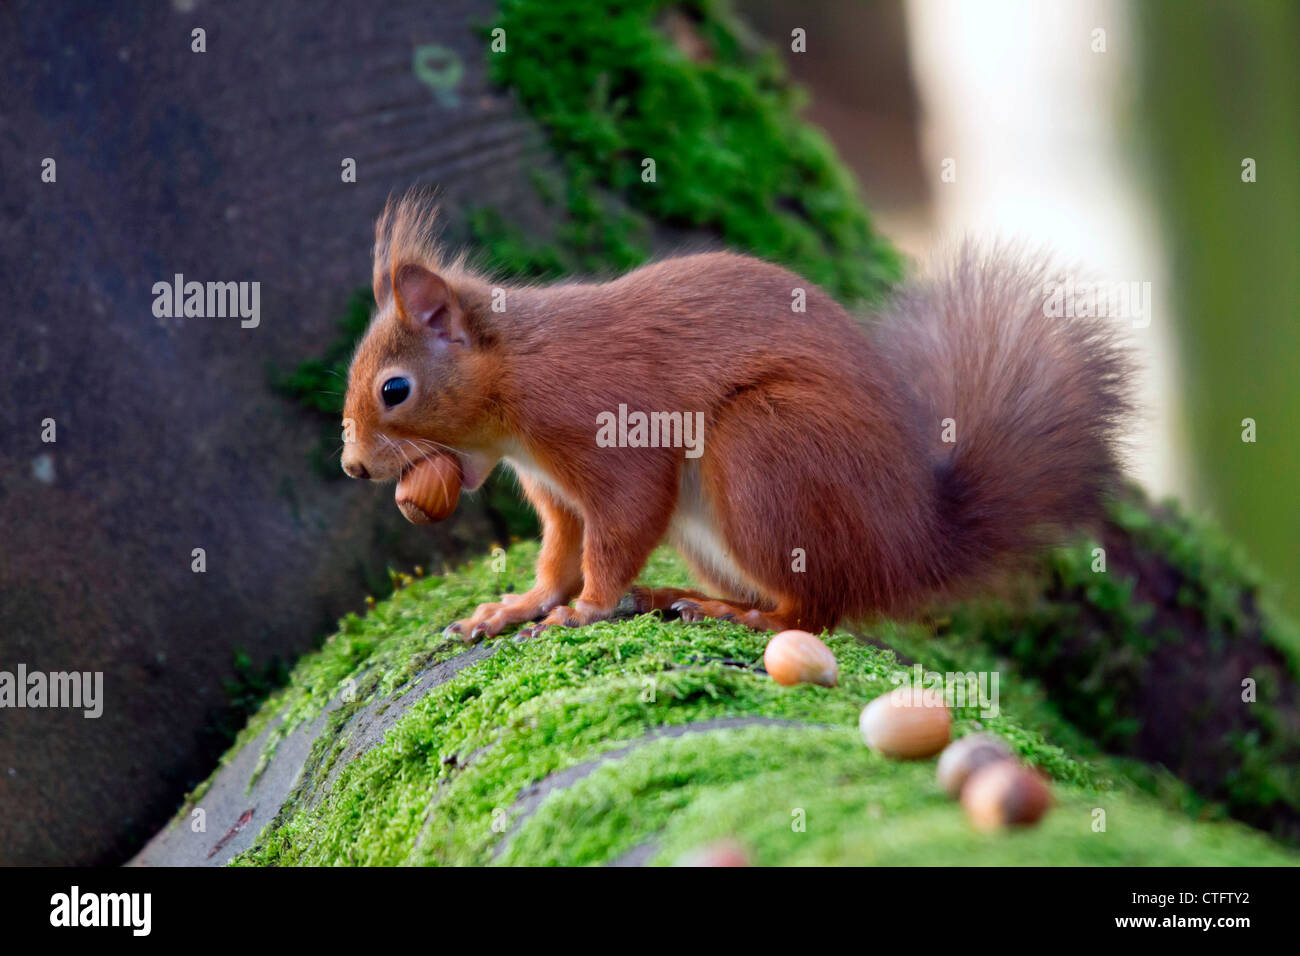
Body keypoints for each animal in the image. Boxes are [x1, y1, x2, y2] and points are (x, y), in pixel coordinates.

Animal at [342, 191, 1131, 640]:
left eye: (394, 390)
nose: (353, 466)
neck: (516, 374)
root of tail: (909, 547)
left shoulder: (606, 427)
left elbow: (621, 526)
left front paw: (588, 608)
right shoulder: (555, 494)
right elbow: (559, 551)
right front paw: (518, 605)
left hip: (761, 450)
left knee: (813, 611)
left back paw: (734, 614)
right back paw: (677, 593)